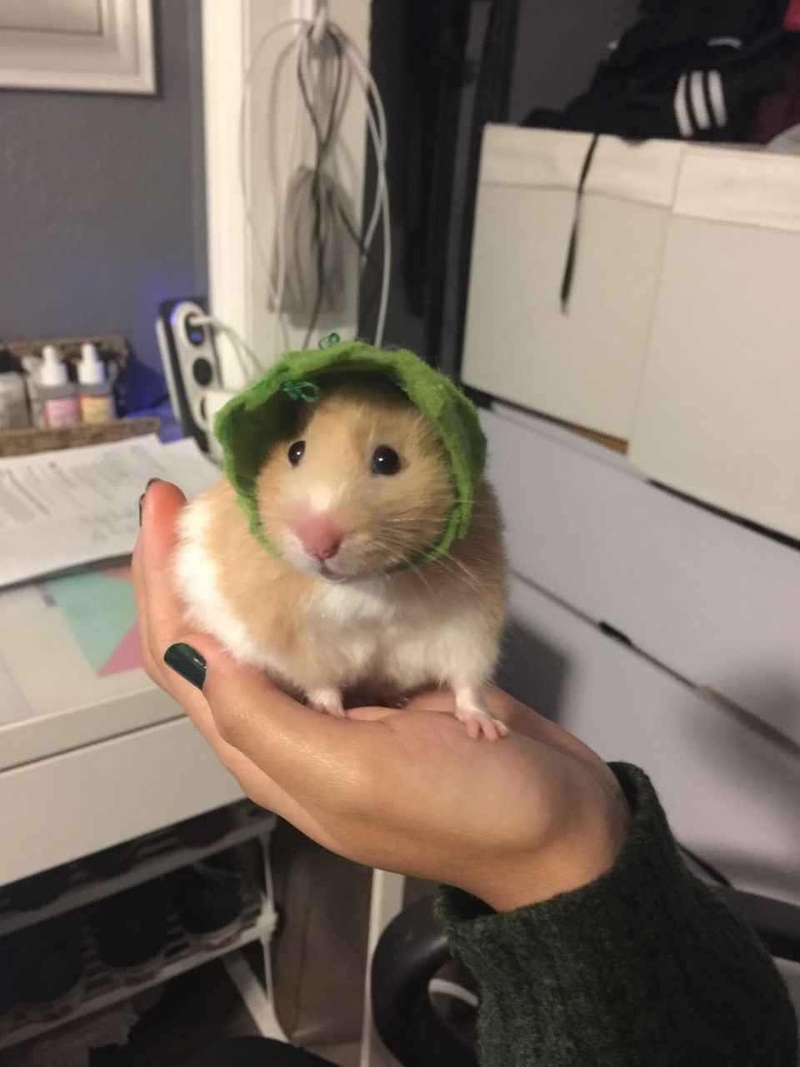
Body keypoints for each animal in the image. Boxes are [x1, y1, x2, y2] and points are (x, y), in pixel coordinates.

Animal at [174, 377, 508, 739]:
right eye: (295, 451)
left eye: (386, 459)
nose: (317, 544)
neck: (366, 585)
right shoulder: (297, 638)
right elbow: (320, 680)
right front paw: (328, 712)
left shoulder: (471, 623)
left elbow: (468, 683)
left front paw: (487, 730)